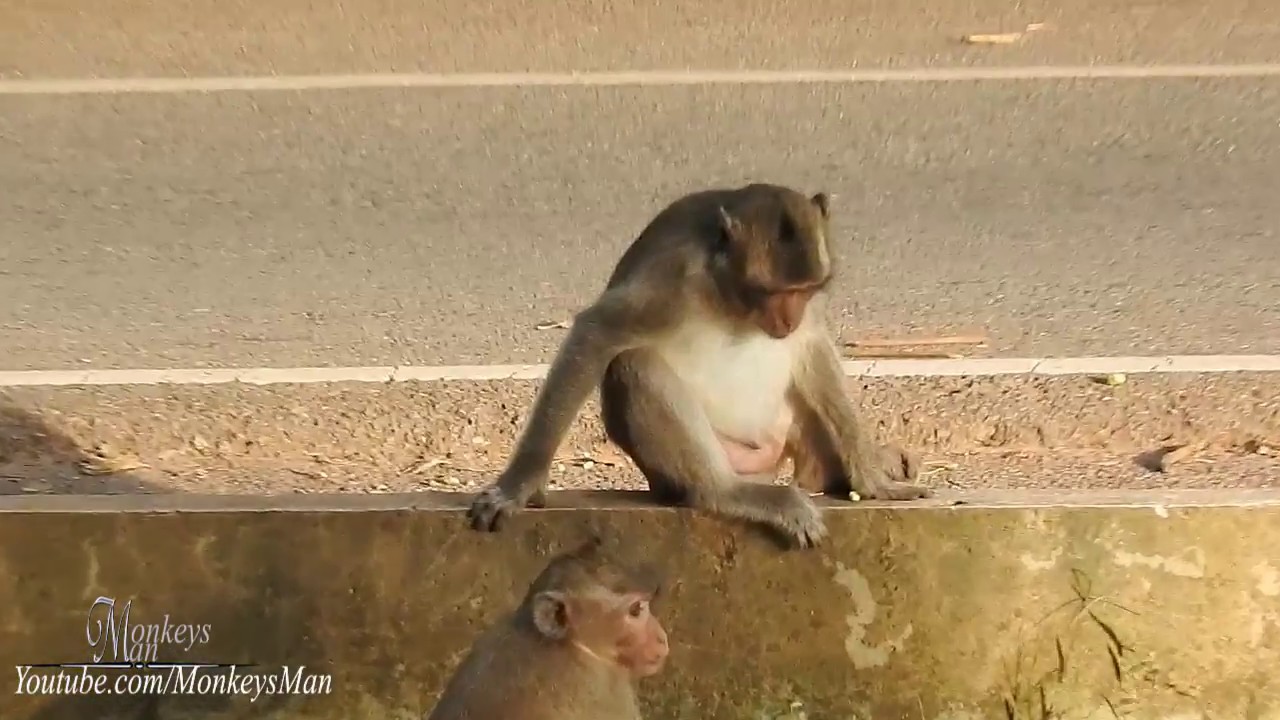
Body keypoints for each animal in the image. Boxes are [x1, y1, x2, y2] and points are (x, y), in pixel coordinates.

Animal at [467, 183, 930, 548]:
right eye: (771, 292)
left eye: (806, 290)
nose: (788, 321)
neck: (729, 295)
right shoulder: (673, 276)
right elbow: (598, 332)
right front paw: (520, 485)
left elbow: (813, 347)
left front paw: (872, 479)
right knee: (635, 363)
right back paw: (726, 492)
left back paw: (834, 475)